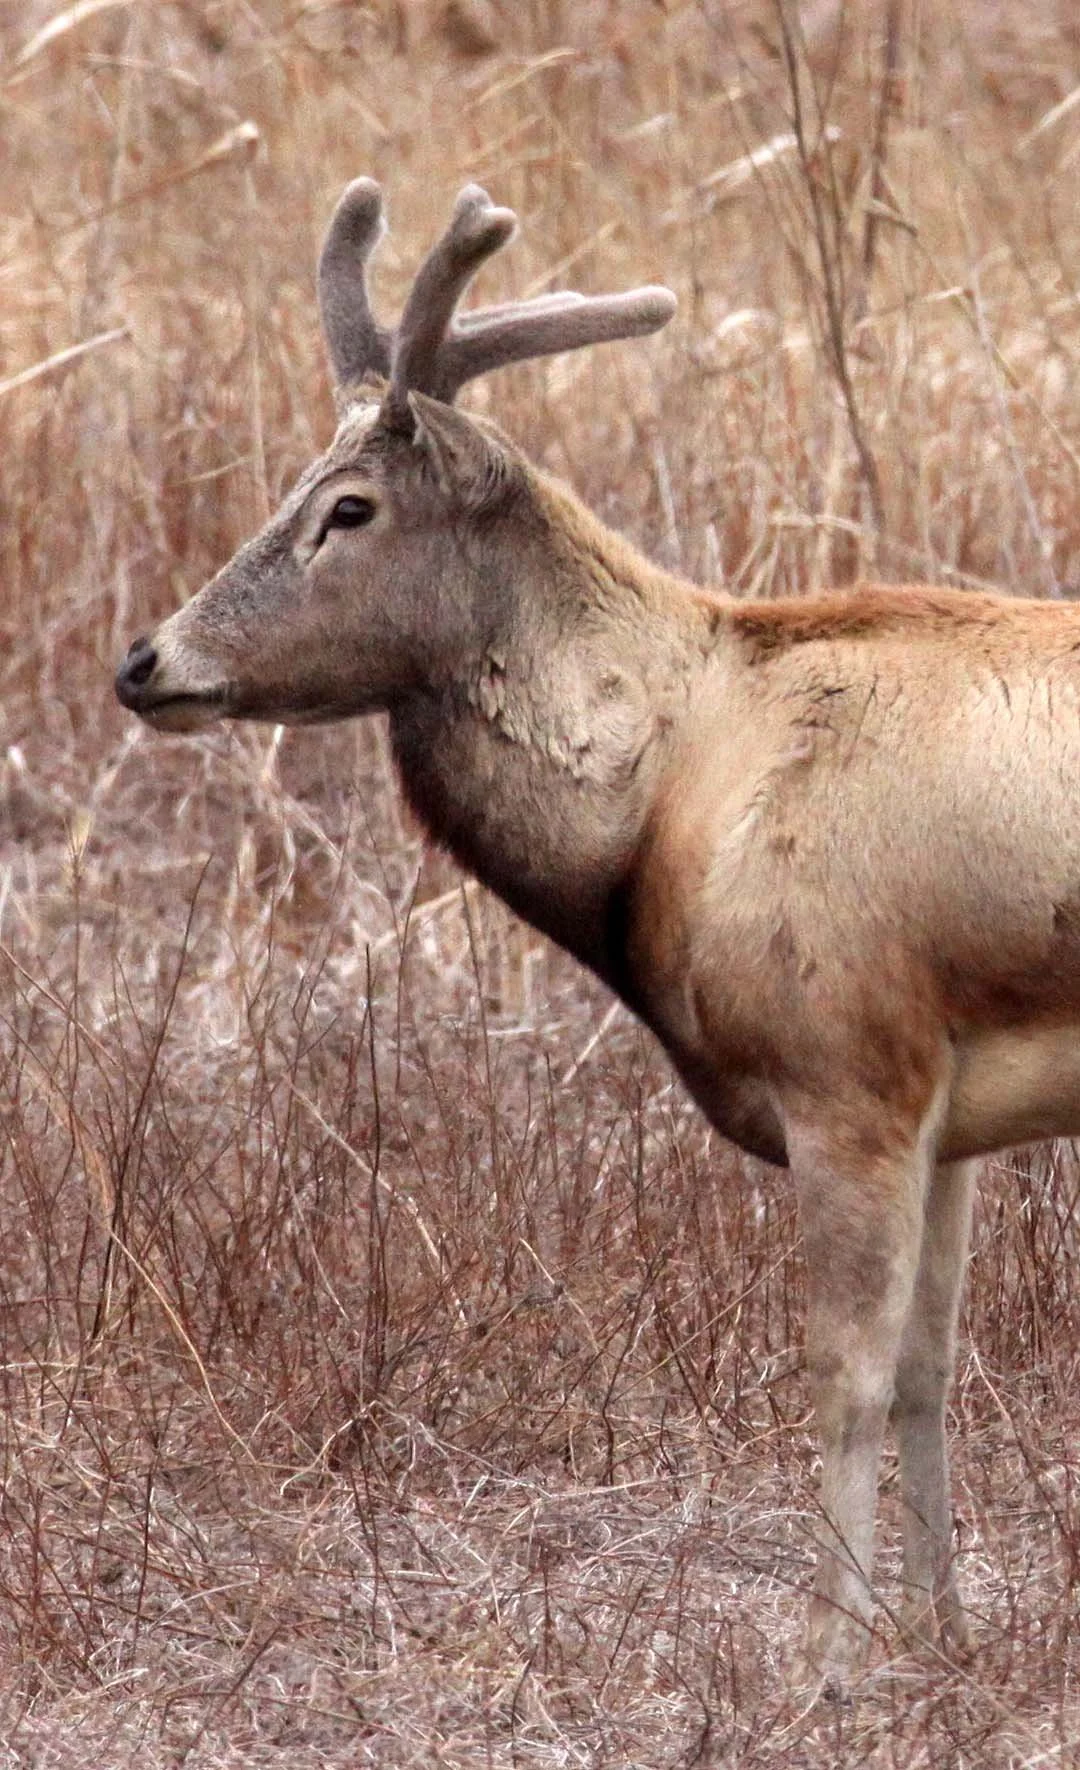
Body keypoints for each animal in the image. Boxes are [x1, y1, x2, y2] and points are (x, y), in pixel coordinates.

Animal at [114, 176, 1080, 1695]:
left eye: (347, 507)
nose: (147, 661)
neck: (673, 802)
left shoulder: (846, 1062)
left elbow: (844, 1376)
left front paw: (824, 1663)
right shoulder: (951, 1100)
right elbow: (933, 1365)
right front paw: (947, 1634)